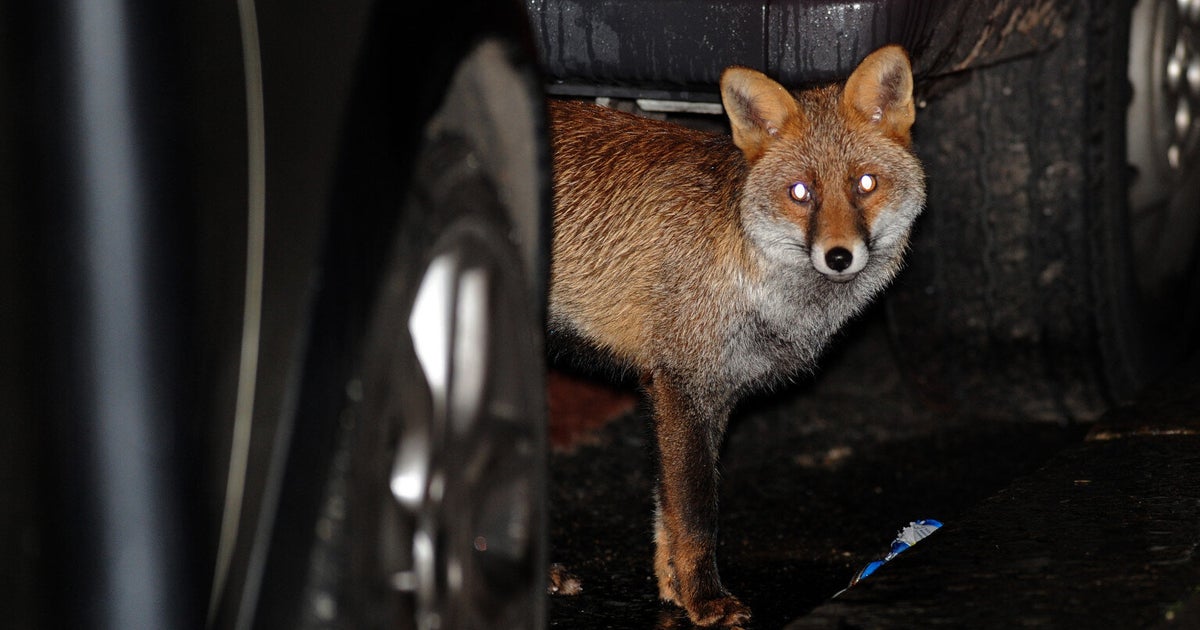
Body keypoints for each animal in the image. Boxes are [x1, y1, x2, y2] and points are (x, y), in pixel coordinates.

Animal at [546, 45, 924, 628]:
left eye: (866, 184)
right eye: (800, 193)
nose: (839, 257)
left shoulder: (708, 394)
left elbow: (669, 515)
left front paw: (676, 591)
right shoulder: (682, 386)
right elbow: (697, 515)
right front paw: (706, 601)